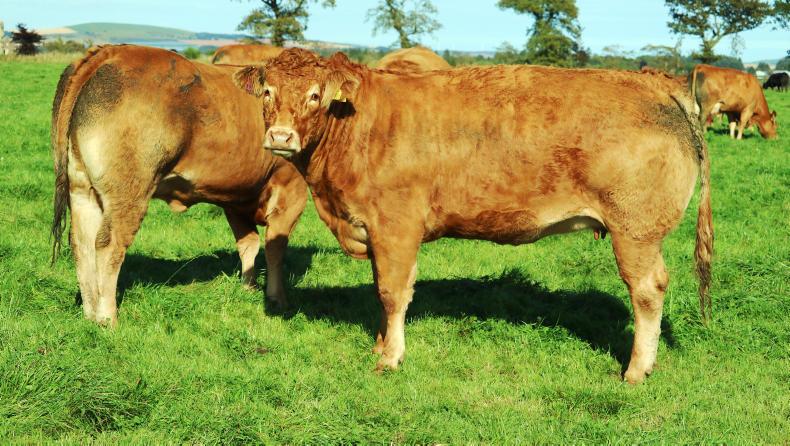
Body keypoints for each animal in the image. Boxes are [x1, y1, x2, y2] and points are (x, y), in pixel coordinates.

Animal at [51, 45, 307, 326]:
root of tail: (111, 51)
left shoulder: (235, 199)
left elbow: (248, 244)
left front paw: (248, 288)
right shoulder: (292, 189)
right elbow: (275, 248)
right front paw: (277, 299)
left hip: (82, 190)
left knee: (81, 244)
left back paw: (90, 314)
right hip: (128, 193)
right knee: (109, 246)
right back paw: (108, 319)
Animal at [233, 49, 713, 384]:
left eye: (315, 95)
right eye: (268, 93)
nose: (280, 136)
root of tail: (655, 82)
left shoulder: (397, 227)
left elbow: (393, 293)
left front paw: (390, 358)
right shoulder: (376, 231)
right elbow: (380, 288)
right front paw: (380, 345)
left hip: (635, 231)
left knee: (647, 292)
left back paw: (636, 370)